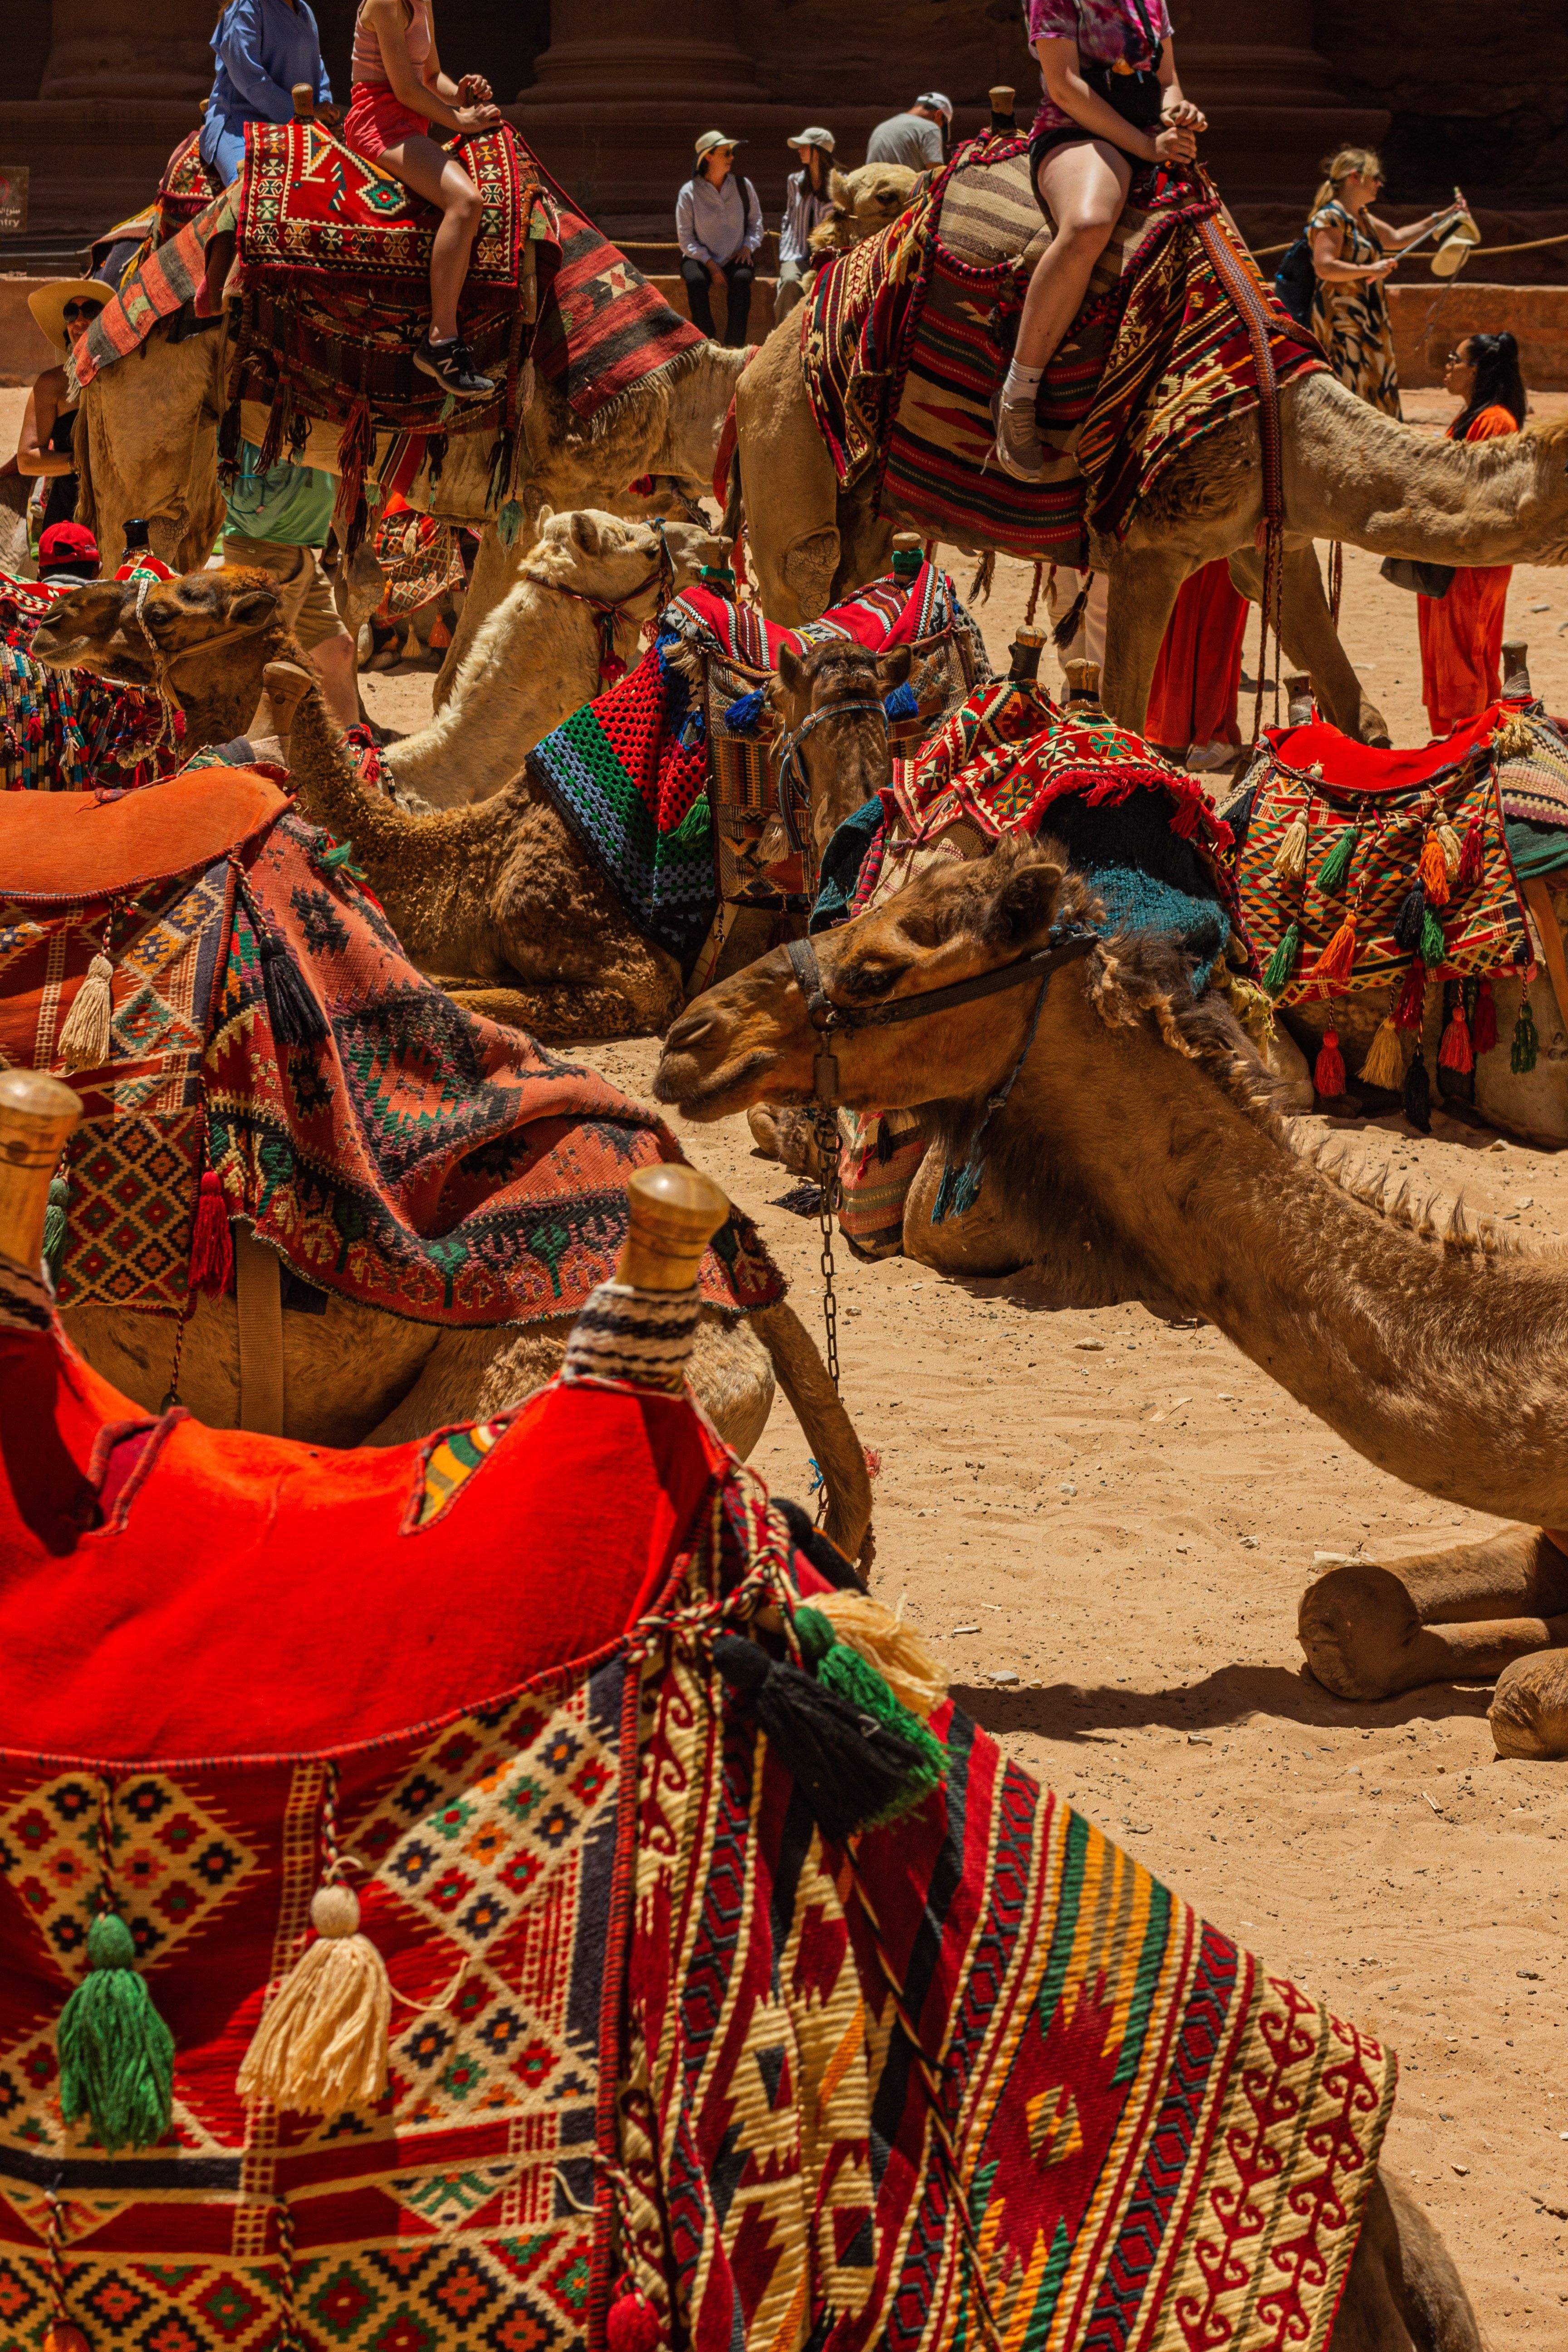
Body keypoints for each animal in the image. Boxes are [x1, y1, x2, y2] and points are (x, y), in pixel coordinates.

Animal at [734, 158, 1568, 743]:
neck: (1287, 421)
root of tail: (768, 342)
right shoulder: (1149, 551)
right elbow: (1127, 718)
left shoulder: (1272, 535)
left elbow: (1358, 713)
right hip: (786, 433)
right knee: (799, 583)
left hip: (867, 500)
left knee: (854, 576)